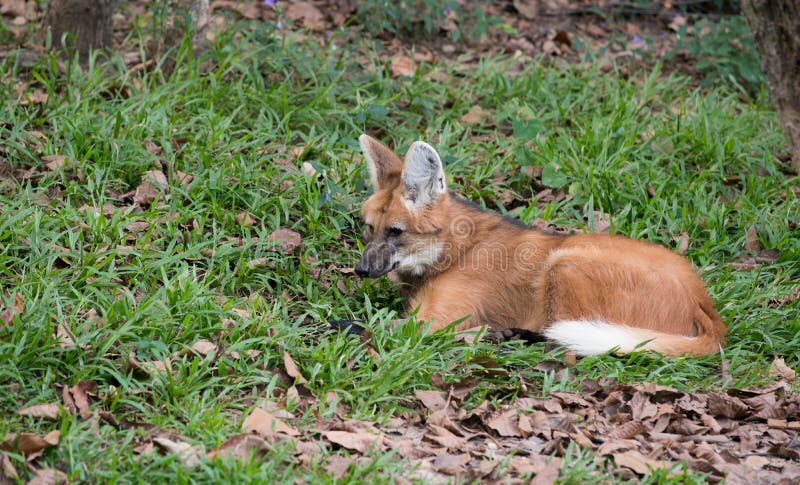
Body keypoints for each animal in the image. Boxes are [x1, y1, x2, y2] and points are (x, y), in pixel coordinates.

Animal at [352, 134, 727, 356]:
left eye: (396, 231)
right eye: (369, 228)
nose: (361, 270)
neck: (454, 251)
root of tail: (704, 304)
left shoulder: (431, 321)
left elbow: (366, 324)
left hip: (565, 261)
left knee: (565, 340)